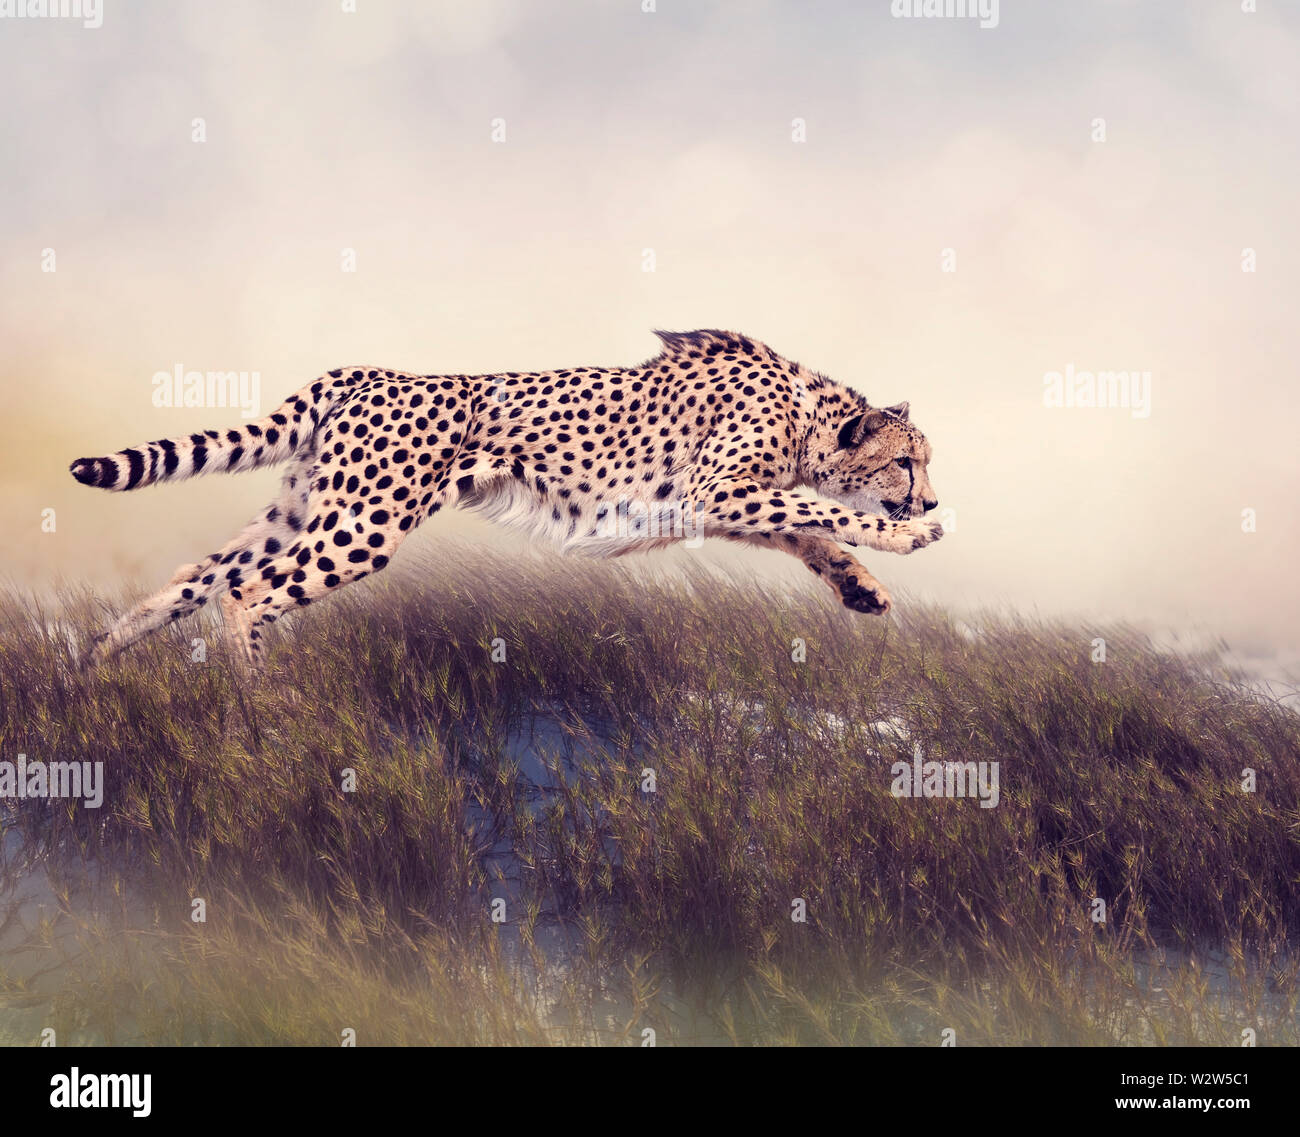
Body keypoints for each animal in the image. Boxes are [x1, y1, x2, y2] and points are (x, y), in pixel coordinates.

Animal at [70, 329, 944, 673]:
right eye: (907, 463)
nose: (933, 503)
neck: (811, 416)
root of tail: (365, 371)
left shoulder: (723, 500)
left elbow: (808, 530)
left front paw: (862, 587)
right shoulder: (718, 487)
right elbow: (824, 513)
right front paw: (899, 544)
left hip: (301, 511)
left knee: (194, 578)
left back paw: (96, 667)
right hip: (365, 523)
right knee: (247, 593)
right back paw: (264, 702)